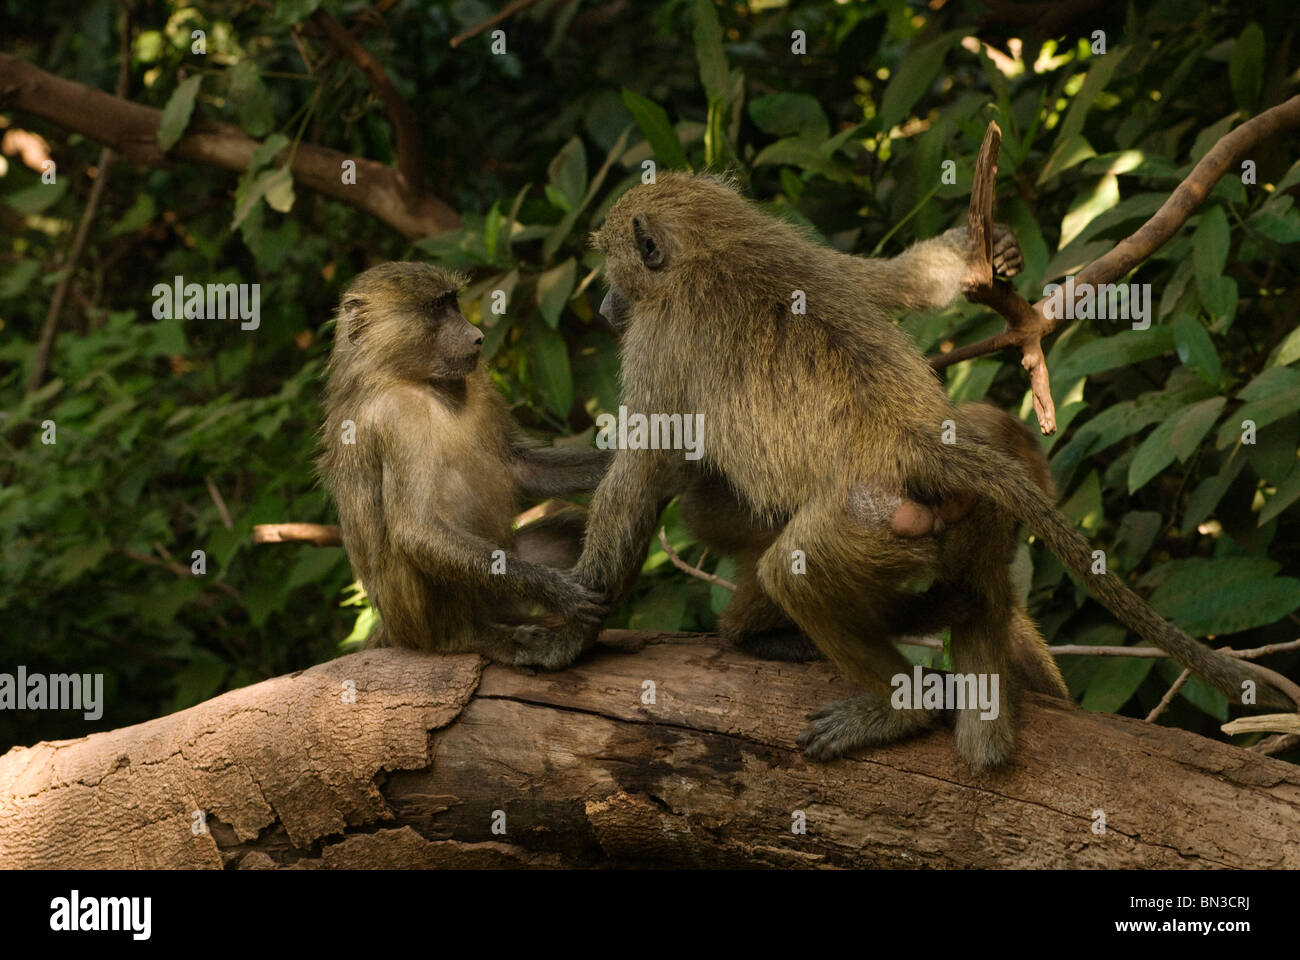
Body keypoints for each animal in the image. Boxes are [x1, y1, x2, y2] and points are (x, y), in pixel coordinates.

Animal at [316, 261, 611, 668]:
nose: (478, 338)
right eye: (437, 307)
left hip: (503, 594)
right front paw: (559, 592)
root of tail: (391, 628)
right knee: (412, 556)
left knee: (568, 527)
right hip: (414, 621)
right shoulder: (395, 418)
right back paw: (480, 639)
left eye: (453, 303)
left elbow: (521, 468)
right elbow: (416, 530)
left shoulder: (479, 380)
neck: (420, 380)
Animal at [572, 172, 1291, 771]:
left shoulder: (657, 338)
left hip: (867, 523)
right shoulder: (801, 251)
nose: (604, 311)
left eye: (612, 268)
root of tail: (916, 442)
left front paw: (568, 622)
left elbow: (640, 477)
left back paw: (898, 707)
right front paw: (970, 250)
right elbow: (888, 283)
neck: (712, 246)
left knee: (793, 568)